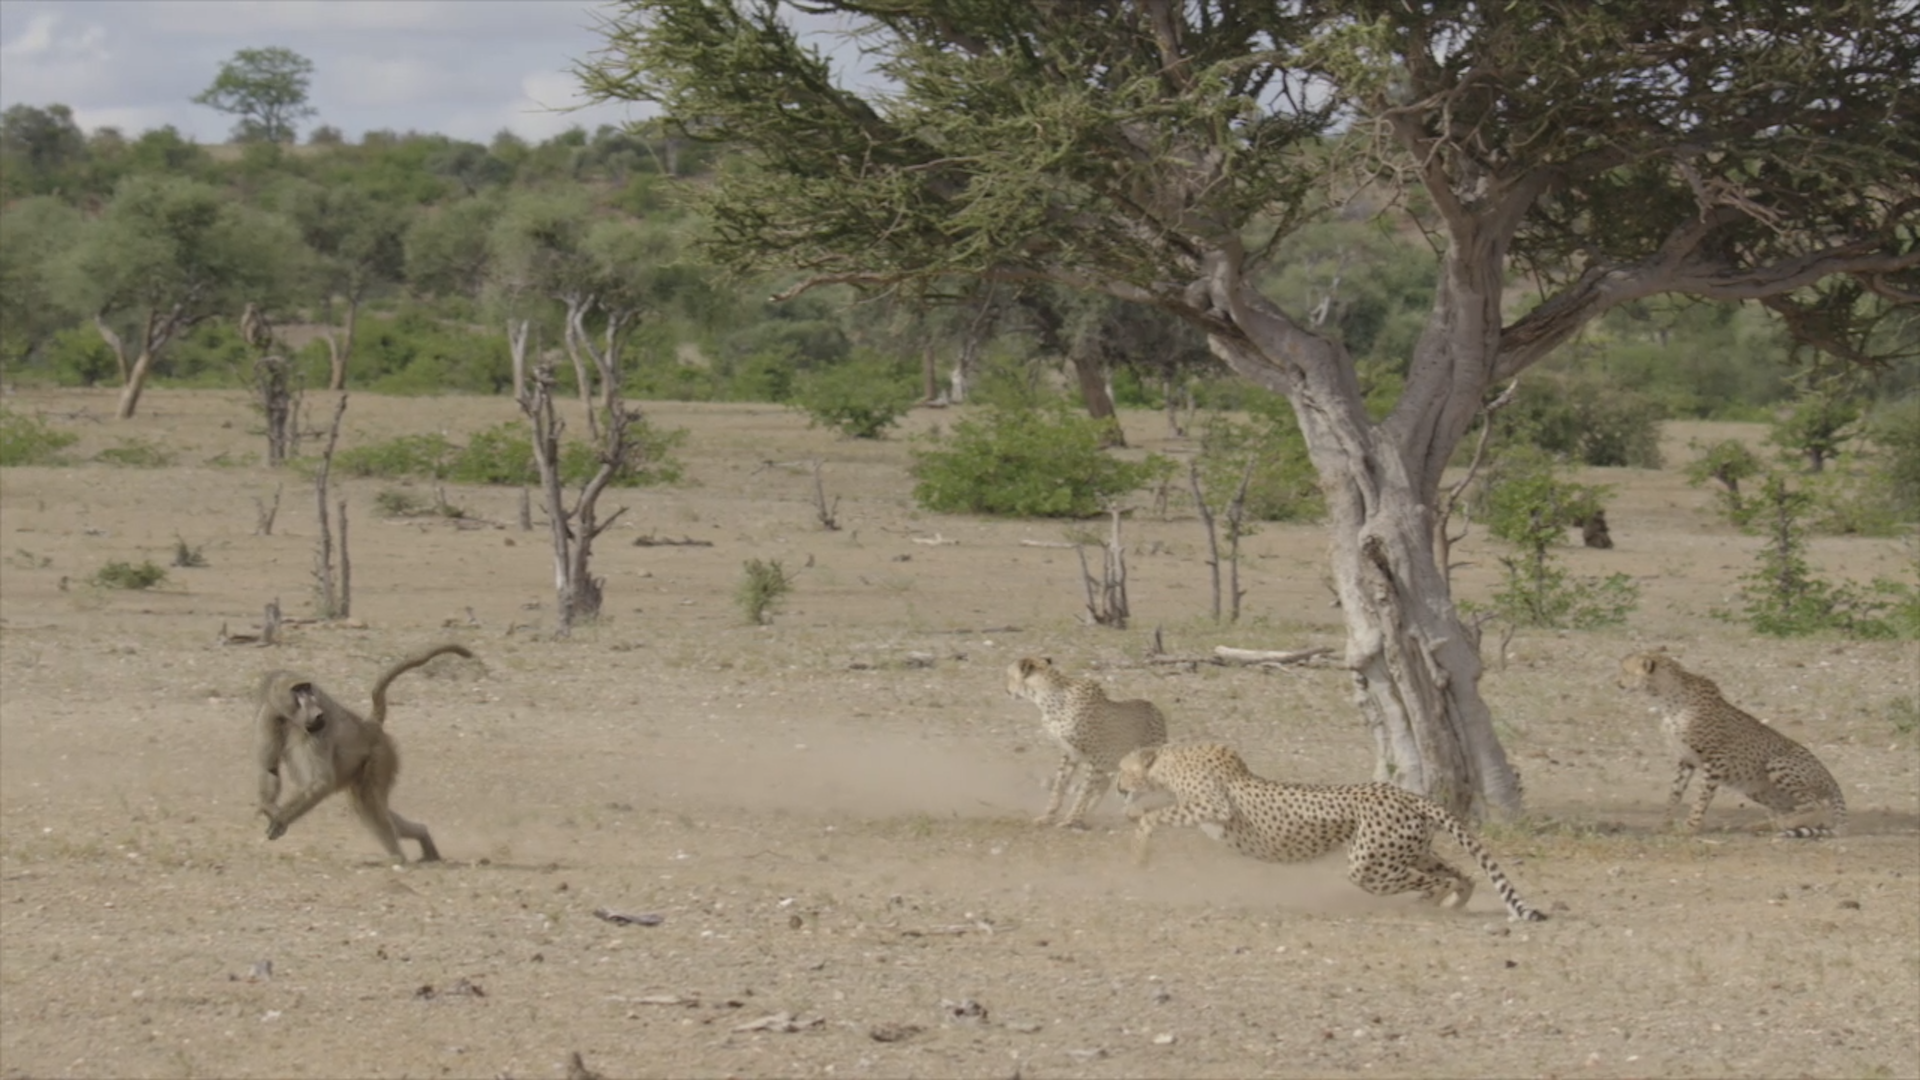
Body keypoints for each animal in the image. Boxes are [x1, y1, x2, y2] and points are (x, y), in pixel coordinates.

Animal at [254, 643, 474, 863]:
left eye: (307, 688)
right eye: (298, 690)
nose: (316, 712)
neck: (289, 718)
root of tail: (369, 726)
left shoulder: (317, 728)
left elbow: (321, 782)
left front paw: (280, 819)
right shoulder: (270, 716)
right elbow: (270, 767)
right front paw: (269, 807)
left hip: (381, 755)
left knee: (367, 803)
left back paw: (398, 859)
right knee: (377, 807)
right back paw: (422, 836)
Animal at [1005, 656, 1168, 828]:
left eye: (1009, 675)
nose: (1006, 689)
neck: (1047, 699)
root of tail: (1154, 707)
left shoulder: (1097, 757)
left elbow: (1084, 791)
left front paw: (1071, 819)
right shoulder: (1070, 754)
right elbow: (1059, 785)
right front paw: (1048, 816)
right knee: (1107, 783)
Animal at [1115, 742, 1548, 922]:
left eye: (1121, 768)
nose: (1117, 785)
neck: (1166, 762)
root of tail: (1406, 794)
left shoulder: (1213, 806)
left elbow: (1154, 817)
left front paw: (1138, 856)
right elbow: (1153, 811)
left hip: (1368, 866)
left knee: (1435, 881)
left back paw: (1426, 905)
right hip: (1410, 851)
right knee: (1464, 874)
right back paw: (1457, 902)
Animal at [1616, 650, 1846, 839]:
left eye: (1626, 671)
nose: (1618, 683)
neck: (1667, 697)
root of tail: (1833, 781)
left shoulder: (1716, 759)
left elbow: (1701, 799)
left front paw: (1690, 828)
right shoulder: (1686, 759)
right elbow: (1674, 795)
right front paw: (1663, 825)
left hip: (1776, 763)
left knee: (1816, 806)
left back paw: (1770, 825)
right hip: (1757, 790)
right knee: (1800, 811)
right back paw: (1765, 825)